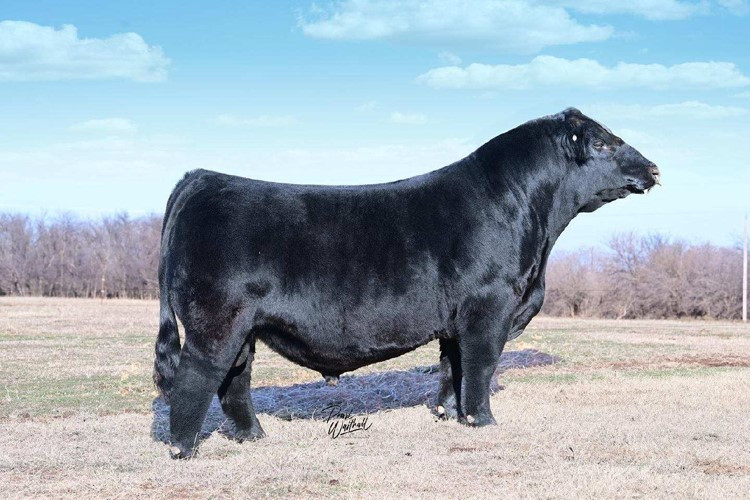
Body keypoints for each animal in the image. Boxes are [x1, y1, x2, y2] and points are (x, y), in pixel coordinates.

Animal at [153, 108, 660, 458]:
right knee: (196, 378)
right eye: (602, 144)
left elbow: (452, 367)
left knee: (234, 380)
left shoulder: (457, 319)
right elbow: (480, 367)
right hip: (216, 321)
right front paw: (483, 421)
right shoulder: (489, 306)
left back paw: (254, 437)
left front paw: (449, 414)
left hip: (243, 327)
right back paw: (184, 449)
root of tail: (202, 178)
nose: (654, 169)